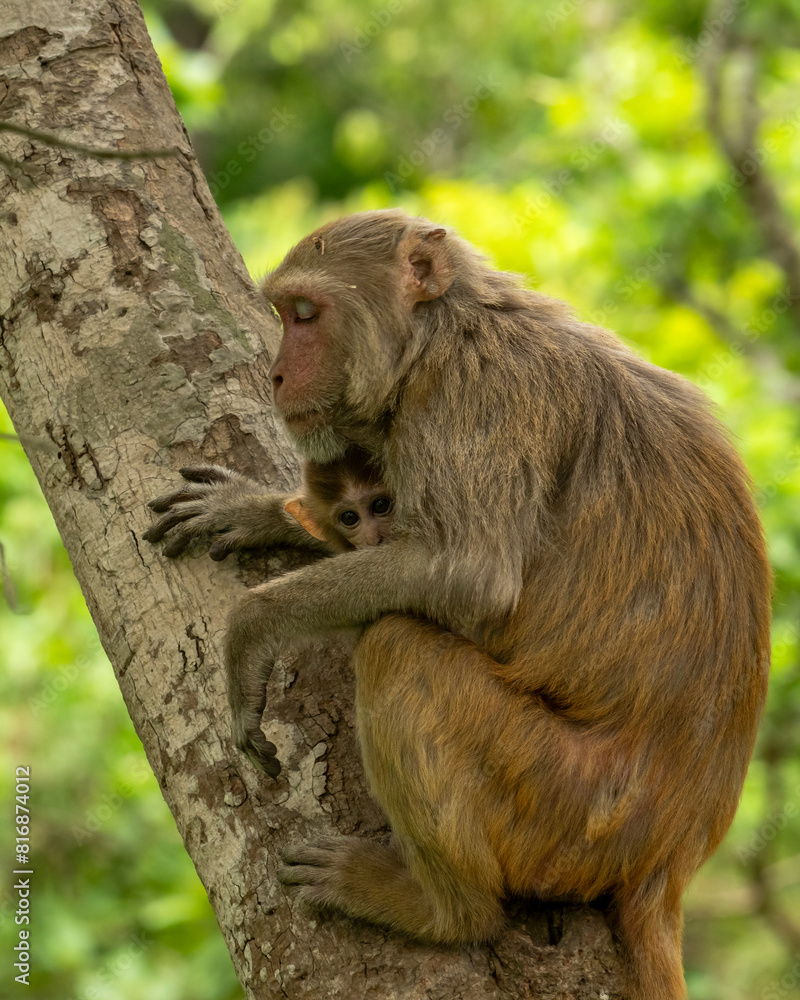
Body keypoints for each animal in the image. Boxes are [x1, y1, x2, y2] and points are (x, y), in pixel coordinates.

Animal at [144, 210, 771, 1000]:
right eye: (285, 315)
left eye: (306, 314)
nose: (278, 374)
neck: (439, 337)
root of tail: (670, 859)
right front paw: (260, 509)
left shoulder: (476, 398)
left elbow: (469, 576)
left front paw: (250, 630)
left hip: (564, 811)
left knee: (398, 648)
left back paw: (441, 910)